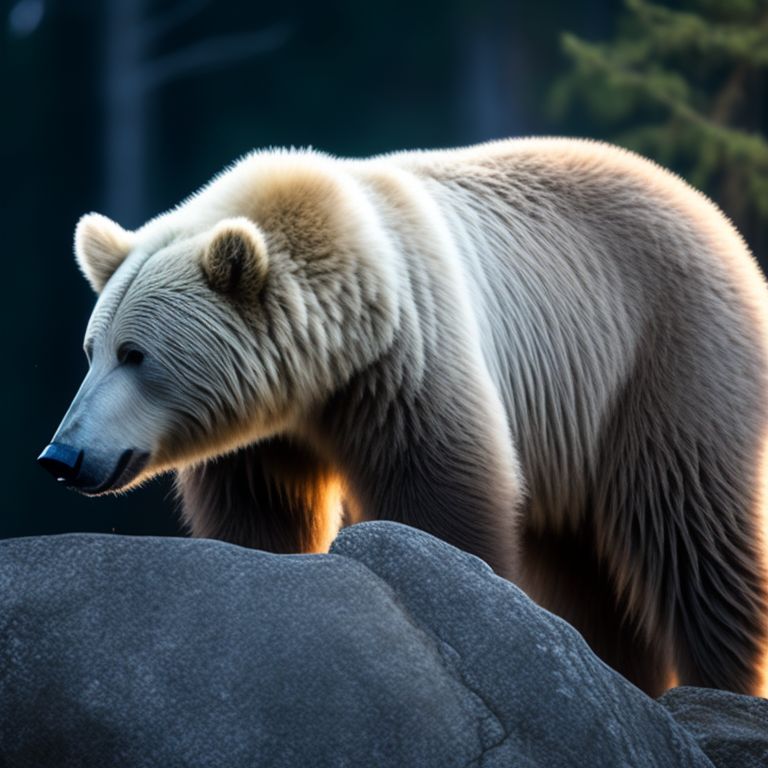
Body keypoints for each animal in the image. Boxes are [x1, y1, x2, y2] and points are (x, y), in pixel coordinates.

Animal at [39, 138, 768, 697]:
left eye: (135, 354)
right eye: (92, 349)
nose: (62, 456)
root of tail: (706, 209)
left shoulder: (409, 362)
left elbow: (441, 500)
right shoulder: (263, 437)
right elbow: (260, 520)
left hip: (666, 360)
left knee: (693, 536)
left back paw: (719, 685)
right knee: (587, 567)